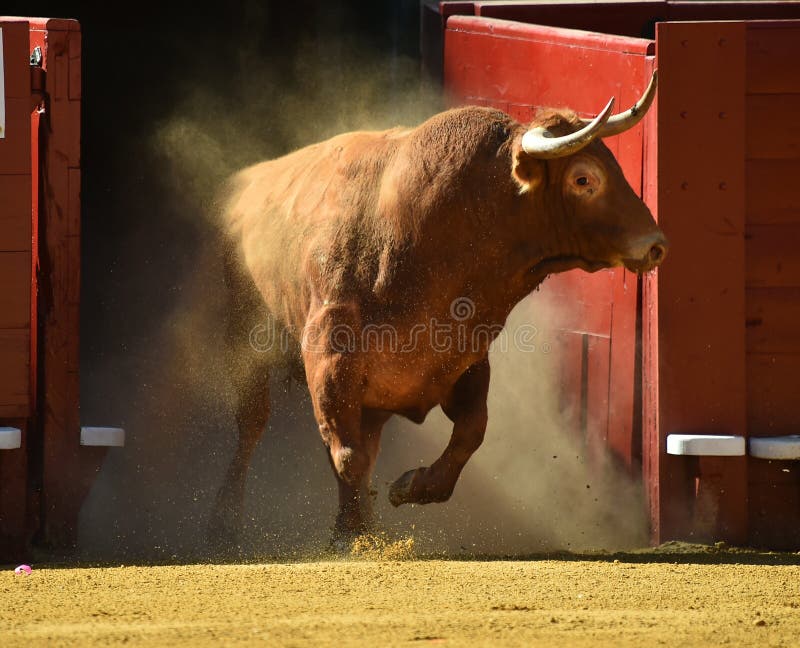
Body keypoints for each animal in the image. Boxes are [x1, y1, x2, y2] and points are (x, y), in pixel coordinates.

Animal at [209, 73, 667, 547]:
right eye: (583, 179)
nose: (655, 244)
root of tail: (242, 187)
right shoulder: (329, 360)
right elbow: (347, 454)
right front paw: (351, 537)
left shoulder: (464, 359)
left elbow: (469, 432)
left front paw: (410, 488)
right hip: (243, 341)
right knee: (253, 424)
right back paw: (225, 522)